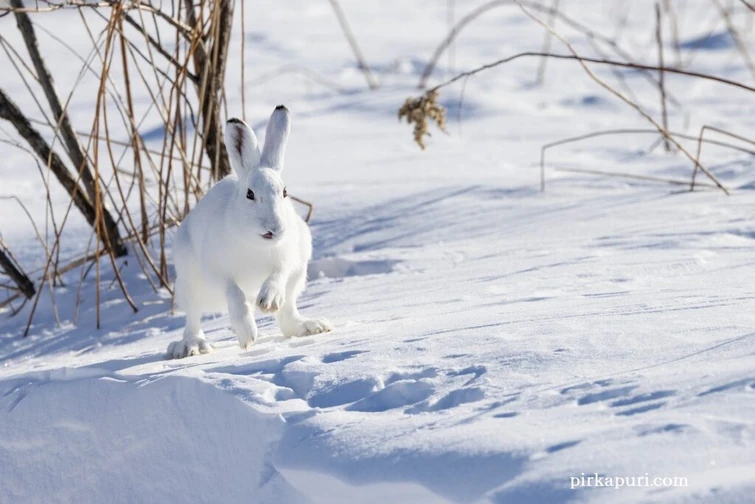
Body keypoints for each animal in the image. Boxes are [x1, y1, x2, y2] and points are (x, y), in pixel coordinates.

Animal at [167, 105, 333, 359]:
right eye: (250, 194)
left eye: (285, 192)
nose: (274, 229)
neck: (257, 243)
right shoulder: (216, 271)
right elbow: (234, 293)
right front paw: (247, 335)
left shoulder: (290, 257)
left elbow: (278, 274)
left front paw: (268, 301)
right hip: (189, 283)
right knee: (193, 318)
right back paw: (192, 346)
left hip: (298, 277)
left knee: (287, 315)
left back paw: (311, 326)